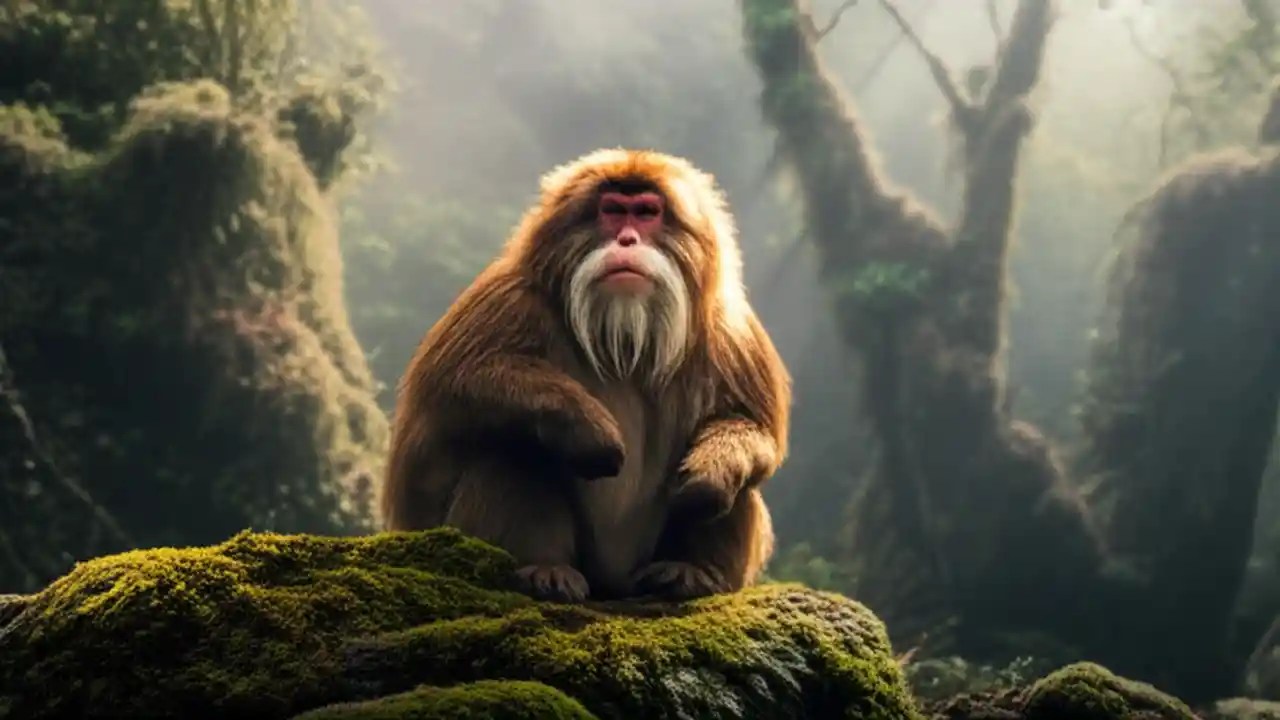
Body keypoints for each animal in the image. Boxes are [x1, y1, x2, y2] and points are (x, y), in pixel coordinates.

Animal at [382, 148, 791, 603]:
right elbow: (454, 385)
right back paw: (545, 568)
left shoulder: (730, 327)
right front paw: (586, 426)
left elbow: (752, 430)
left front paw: (711, 474)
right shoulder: (511, 296)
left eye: (646, 213)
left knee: (740, 485)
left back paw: (691, 570)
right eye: (613, 211)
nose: (627, 240)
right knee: (513, 446)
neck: (625, 335)